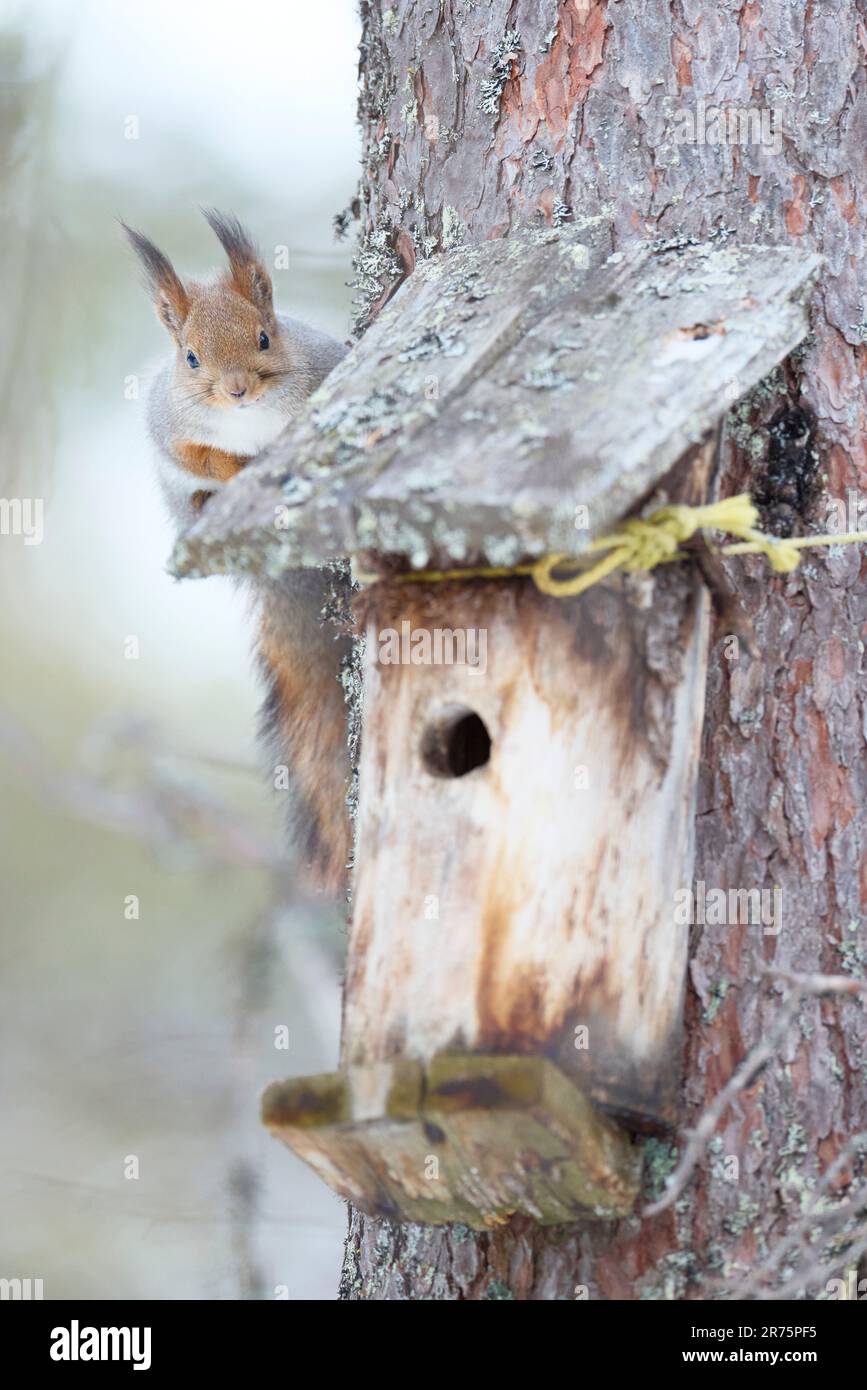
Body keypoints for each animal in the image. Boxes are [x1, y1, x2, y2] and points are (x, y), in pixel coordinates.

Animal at [123, 209, 351, 894]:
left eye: (265, 338)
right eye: (190, 356)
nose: (237, 390)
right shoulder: (170, 426)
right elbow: (197, 454)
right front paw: (233, 467)